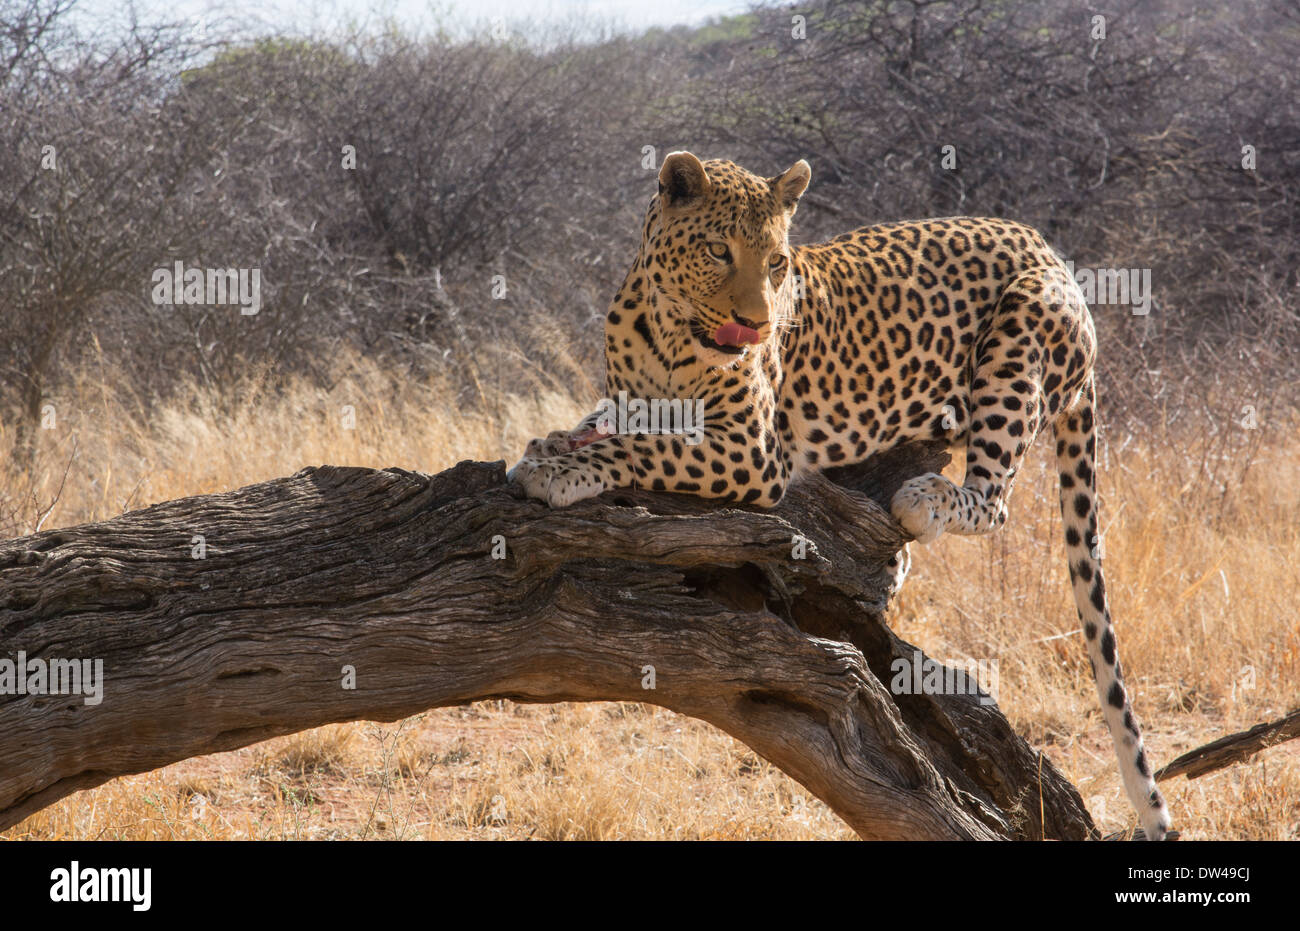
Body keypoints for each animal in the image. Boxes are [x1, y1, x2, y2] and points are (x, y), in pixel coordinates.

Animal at [508, 151, 1172, 840]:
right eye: (719, 251)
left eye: (776, 262)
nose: (755, 325)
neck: (668, 329)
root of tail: (1049, 250)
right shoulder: (630, 402)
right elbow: (604, 426)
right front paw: (551, 445)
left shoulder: (750, 449)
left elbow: (641, 448)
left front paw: (558, 470)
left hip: (1020, 335)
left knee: (994, 497)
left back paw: (926, 500)